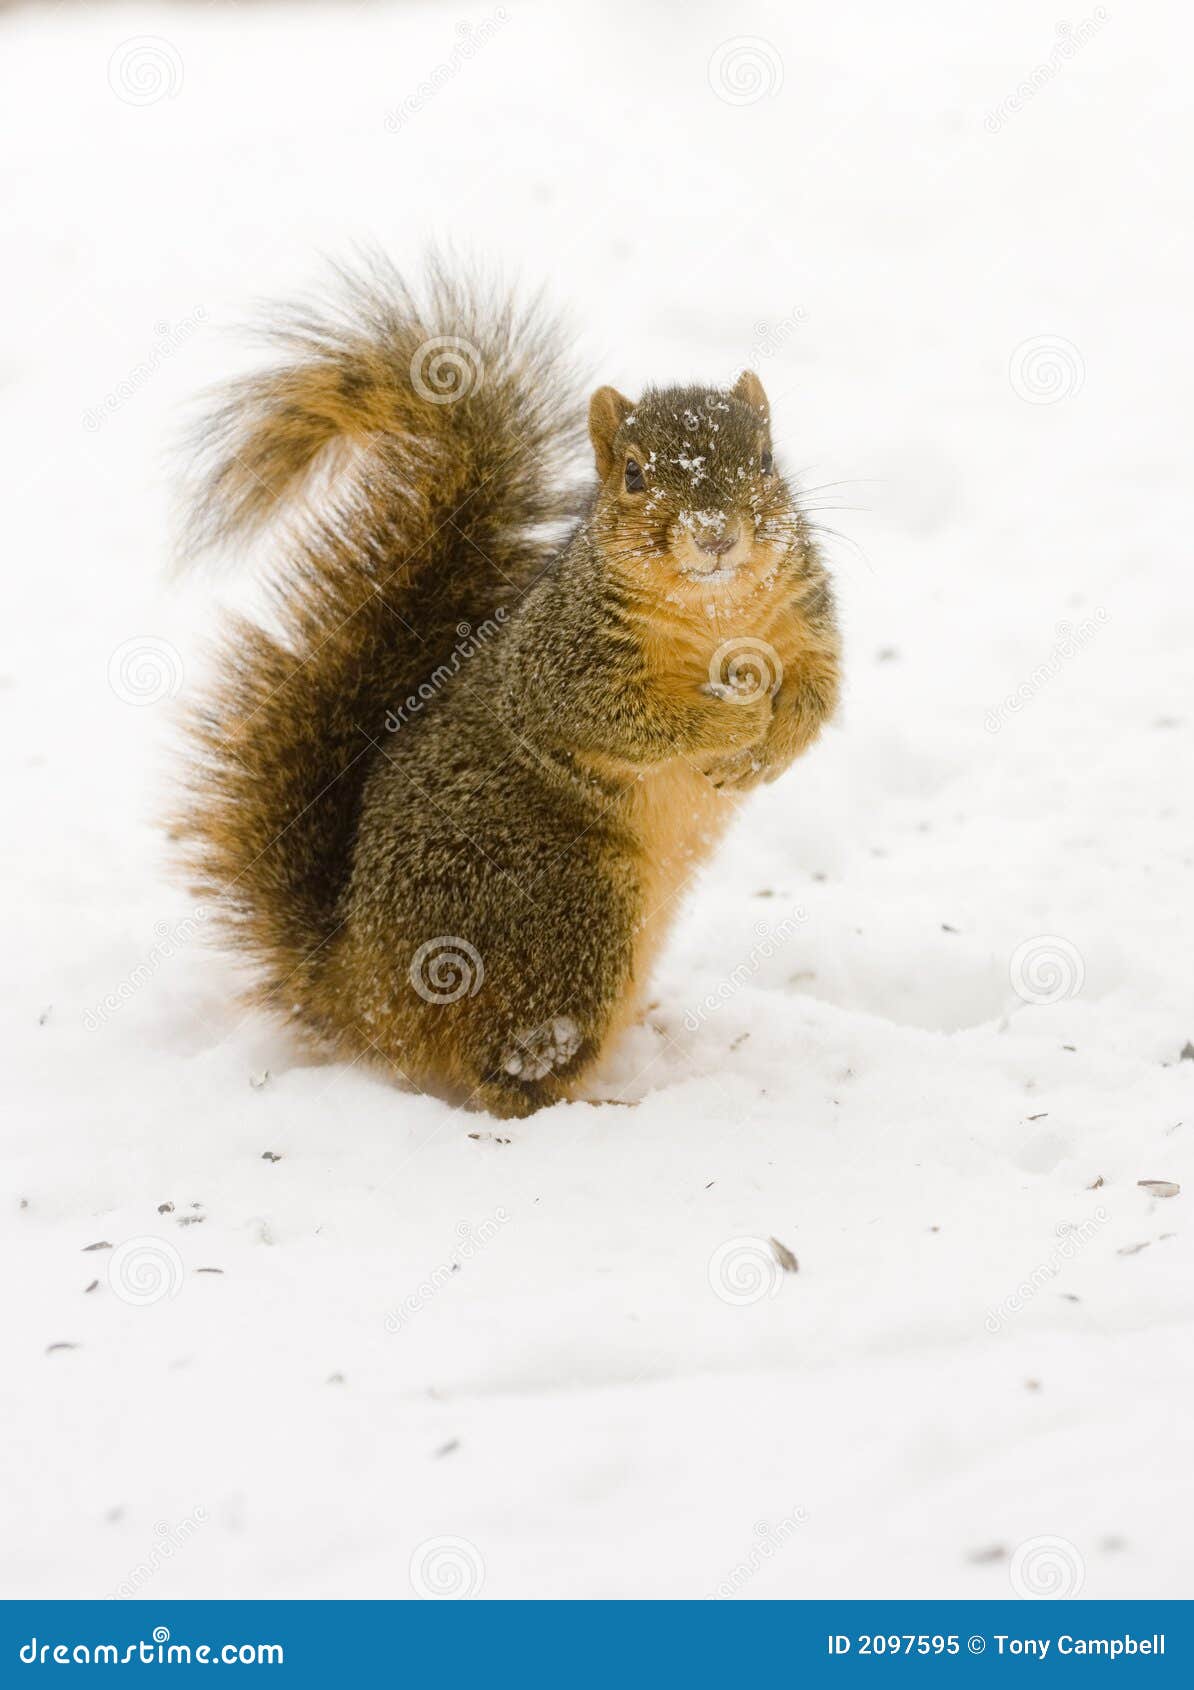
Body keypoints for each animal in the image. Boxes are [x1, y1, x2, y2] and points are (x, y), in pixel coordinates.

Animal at [177, 257, 840, 1118]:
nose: (715, 533)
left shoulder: (806, 619)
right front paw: (730, 721)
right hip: (563, 909)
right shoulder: (560, 665)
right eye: (633, 475)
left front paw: (770, 746)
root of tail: (358, 987)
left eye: (764, 460)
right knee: (506, 1068)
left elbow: (821, 691)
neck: (715, 611)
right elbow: (623, 719)